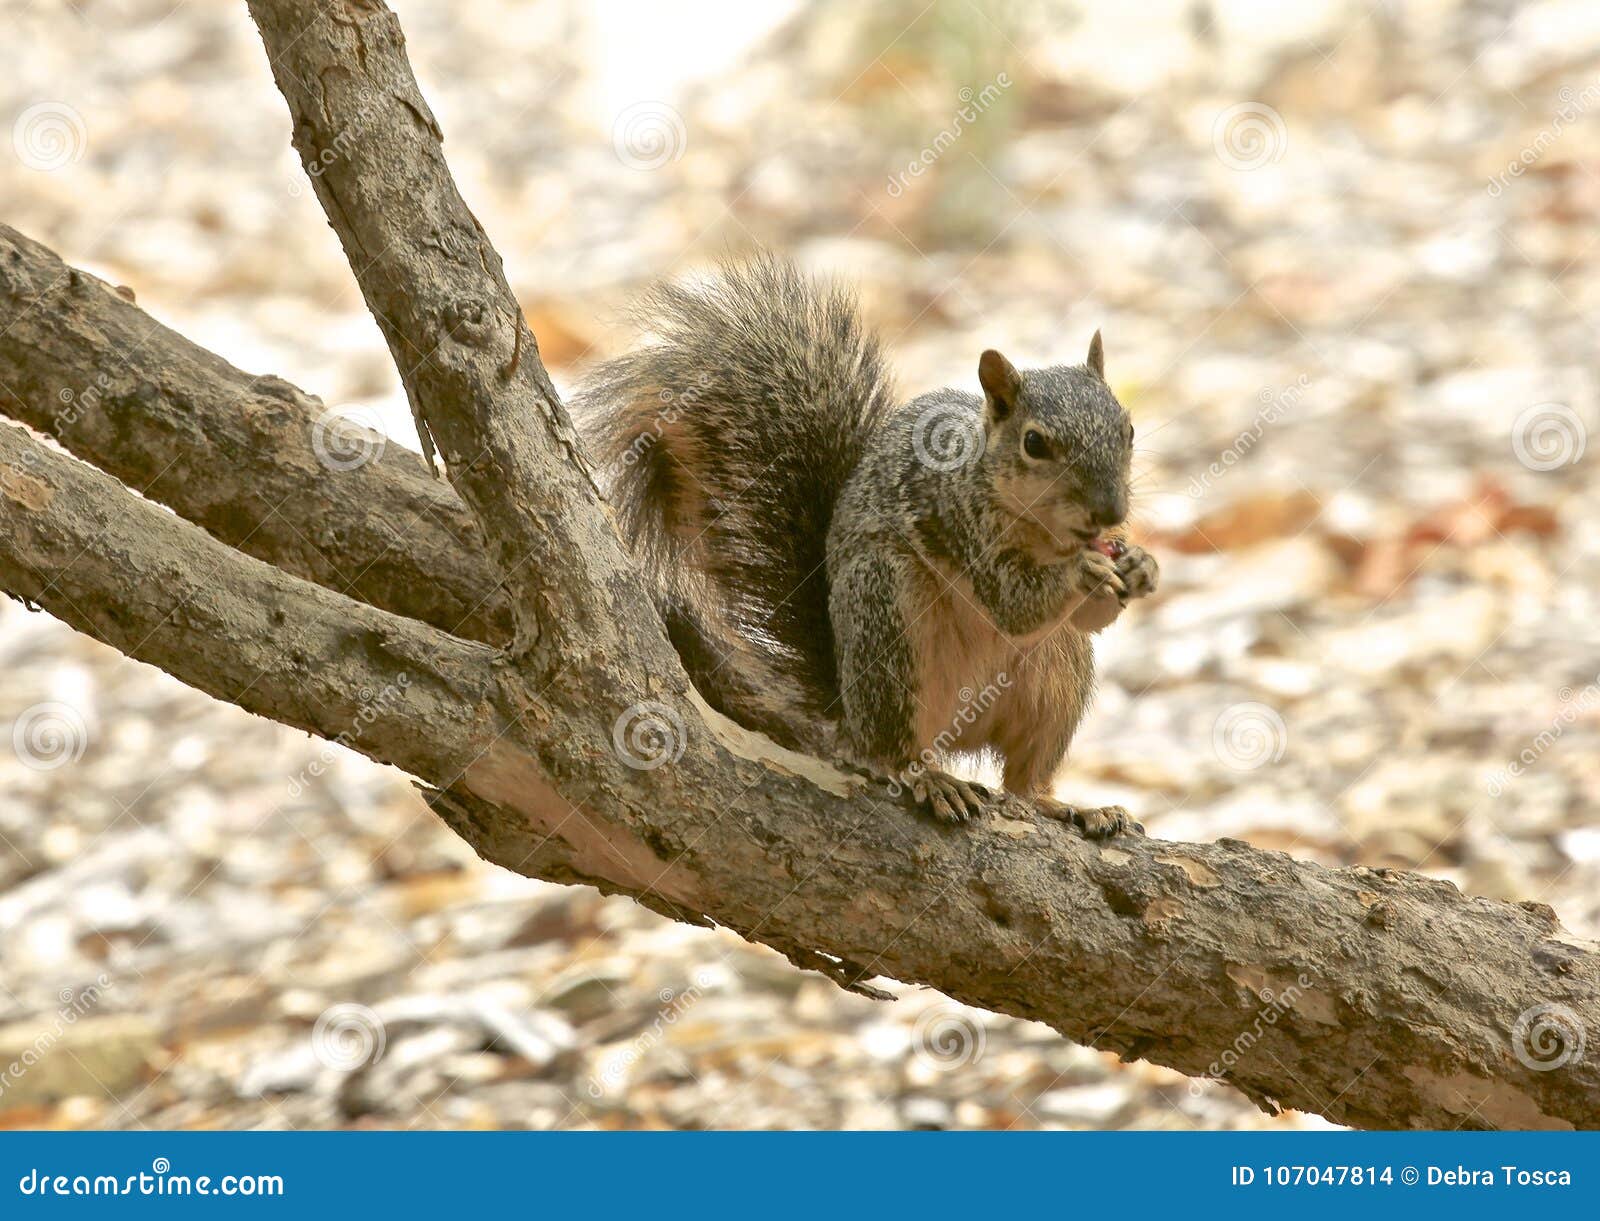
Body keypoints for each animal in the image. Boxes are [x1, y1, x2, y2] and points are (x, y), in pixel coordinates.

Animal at [578, 256, 1158, 838]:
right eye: (1034, 443)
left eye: (1129, 429)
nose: (1110, 513)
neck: (1048, 533)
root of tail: (848, 712)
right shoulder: (959, 521)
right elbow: (1013, 603)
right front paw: (1082, 574)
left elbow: (1088, 617)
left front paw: (1141, 565)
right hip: (887, 619)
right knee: (895, 752)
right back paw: (932, 779)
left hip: (1056, 676)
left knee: (1025, 779)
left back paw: (1069, 806)